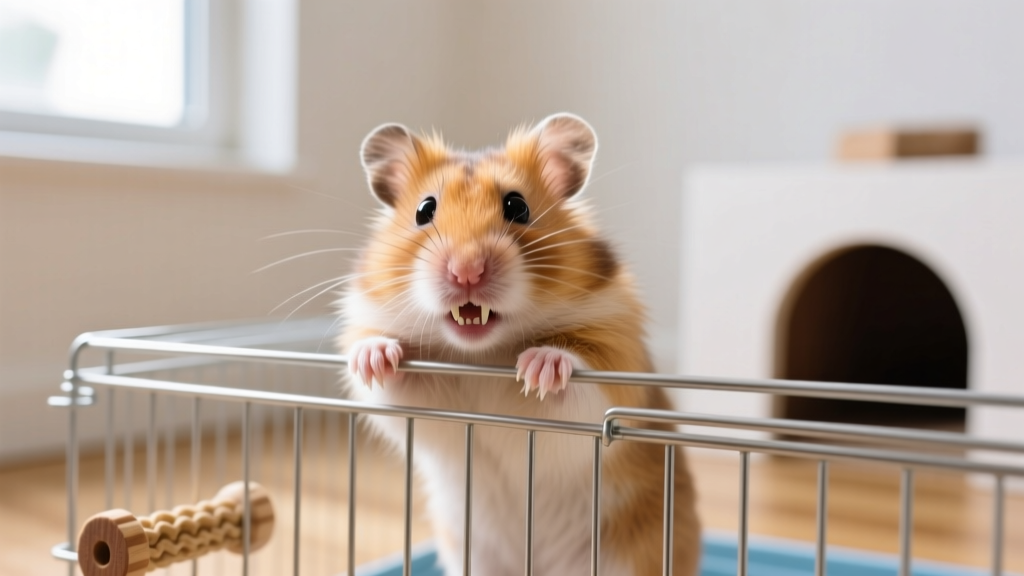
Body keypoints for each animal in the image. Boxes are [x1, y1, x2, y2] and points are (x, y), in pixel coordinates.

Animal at [339, 113, 699, 576]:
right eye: (424, 210)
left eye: (518, 206)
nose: (467, 271)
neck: (482, 352)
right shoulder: (416, 406)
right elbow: (391, 383)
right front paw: (375, 357)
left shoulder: (611, 377)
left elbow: (571, 386)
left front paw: (537, 367)